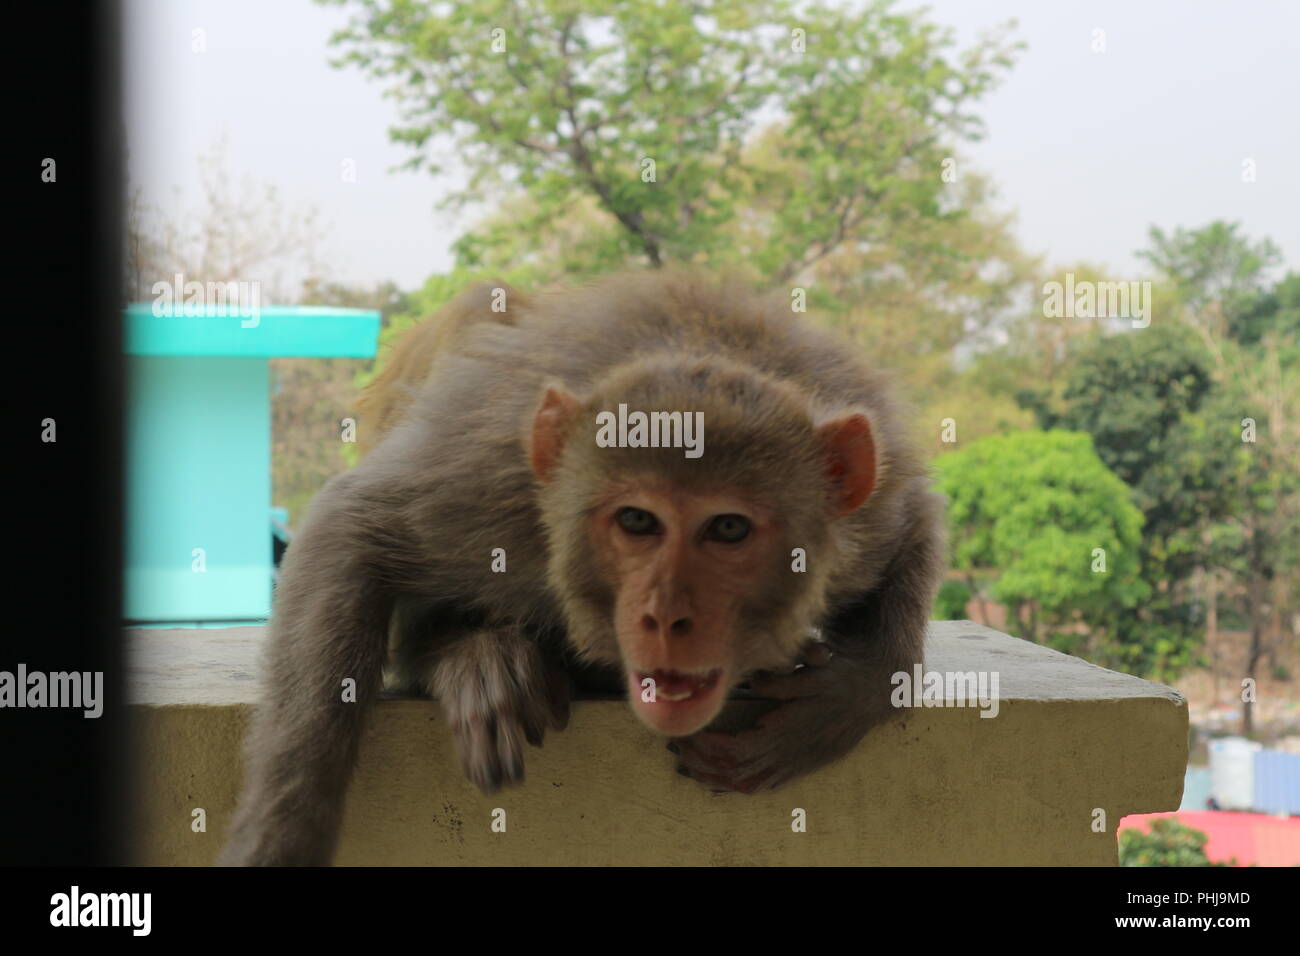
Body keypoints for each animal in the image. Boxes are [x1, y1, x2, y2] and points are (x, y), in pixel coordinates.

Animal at [218, 271, 946, 866]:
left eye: (729, 529)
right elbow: (352, 526)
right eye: (637, 522)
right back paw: (469, 654)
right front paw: (282, 834)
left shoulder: (866, 516)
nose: (667, 616)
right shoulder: (498, 490)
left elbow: (916, 518)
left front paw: (846, 695)